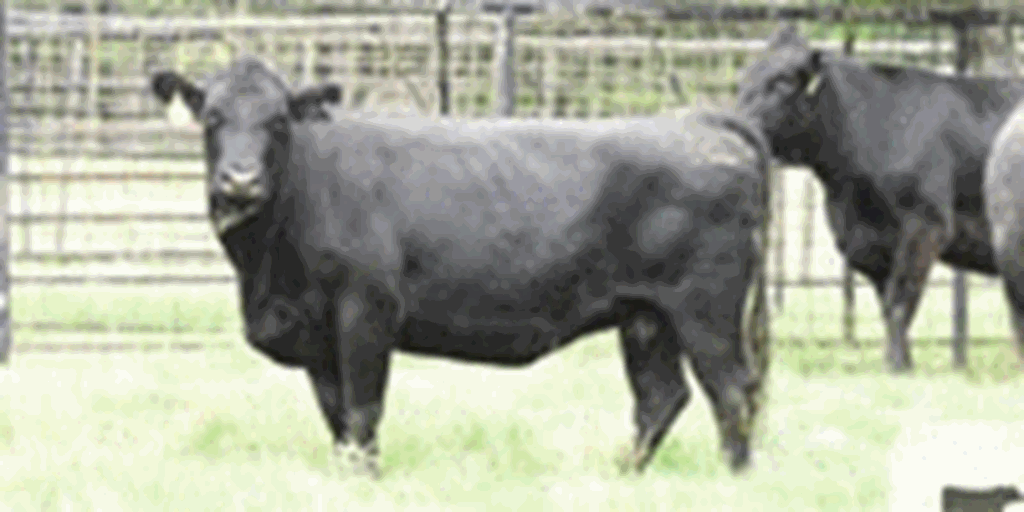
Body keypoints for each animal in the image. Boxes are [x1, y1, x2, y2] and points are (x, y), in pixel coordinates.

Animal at [150, 56, 772, 479]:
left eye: (279, 120)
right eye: (212, 117)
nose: (240, 181)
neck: (266, 271)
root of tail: (697, 123)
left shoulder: (365, 308)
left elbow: (363, 408)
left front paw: (367, 480)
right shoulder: (316, 333)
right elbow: (336, 416)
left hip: (706, 309)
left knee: (731, 391)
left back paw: (733, 479)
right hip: (646, 315)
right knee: (661, 397)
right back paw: (623, 472)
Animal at [727, 23, 1024, 374]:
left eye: (783, 82)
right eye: (744, 79)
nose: (737, 124)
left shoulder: (926, 226)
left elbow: (900, 301)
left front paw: (895, 365)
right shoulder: (867, 240)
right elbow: (887, 304)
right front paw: (904, 362)